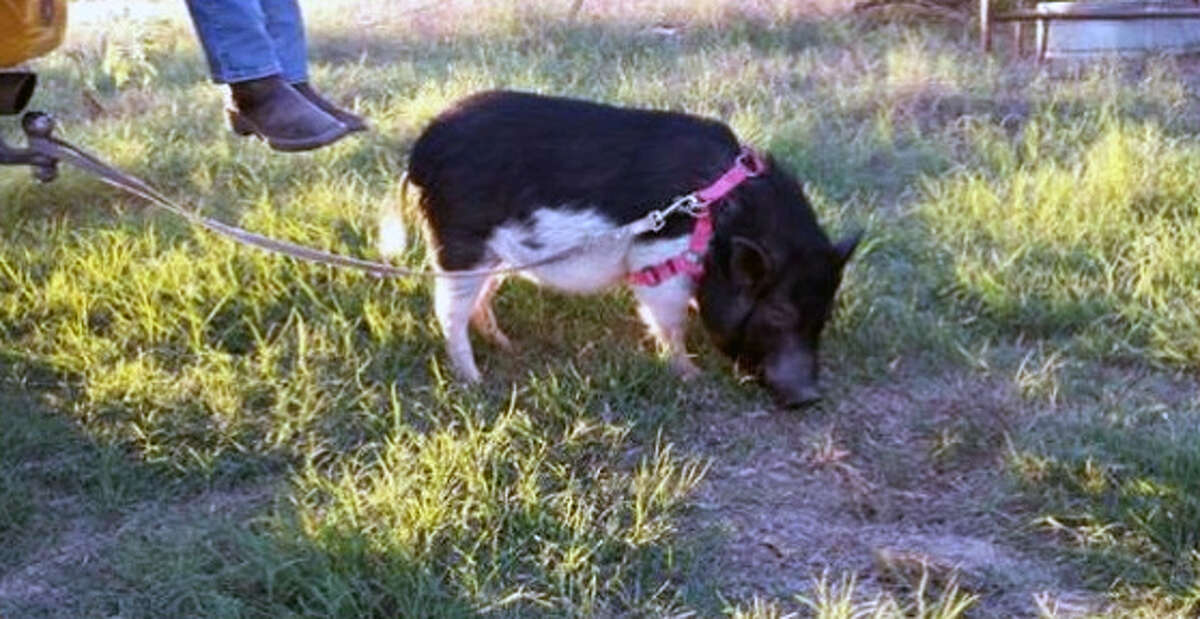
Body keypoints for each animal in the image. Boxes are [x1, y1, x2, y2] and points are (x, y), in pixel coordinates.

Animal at [384, 90, 859, 407]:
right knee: (448, 312)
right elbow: (668, 322)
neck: (723, 215)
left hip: (494, 255)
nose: (809, 397)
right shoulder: (658, 257)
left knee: (480, 299)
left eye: (824, 312)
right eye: (778, 313)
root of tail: (422, 152)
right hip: (460, 241)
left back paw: (506, 346)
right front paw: (691, 376)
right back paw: (474, 381)